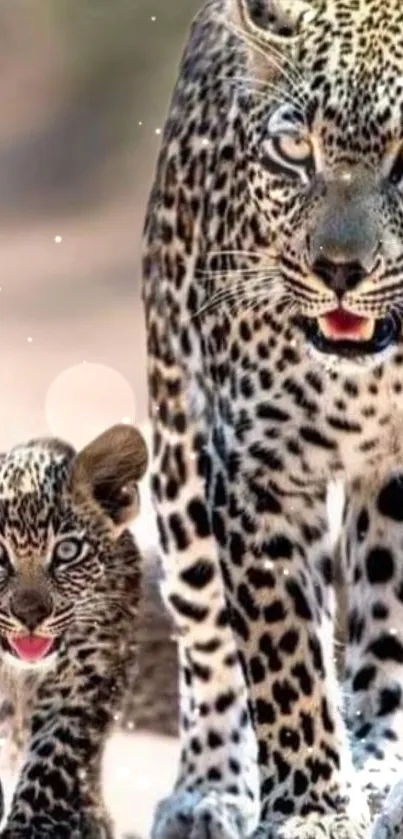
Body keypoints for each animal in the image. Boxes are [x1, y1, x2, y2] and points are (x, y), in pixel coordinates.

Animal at [142, 1, 403, 838]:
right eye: (295, 151)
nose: (338, 270)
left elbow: (386, 627)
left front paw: (375, 766)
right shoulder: (259, 467)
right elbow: (281, 650)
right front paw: (307, 809)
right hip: (178, 456)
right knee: (204, 634)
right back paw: (207, 791)